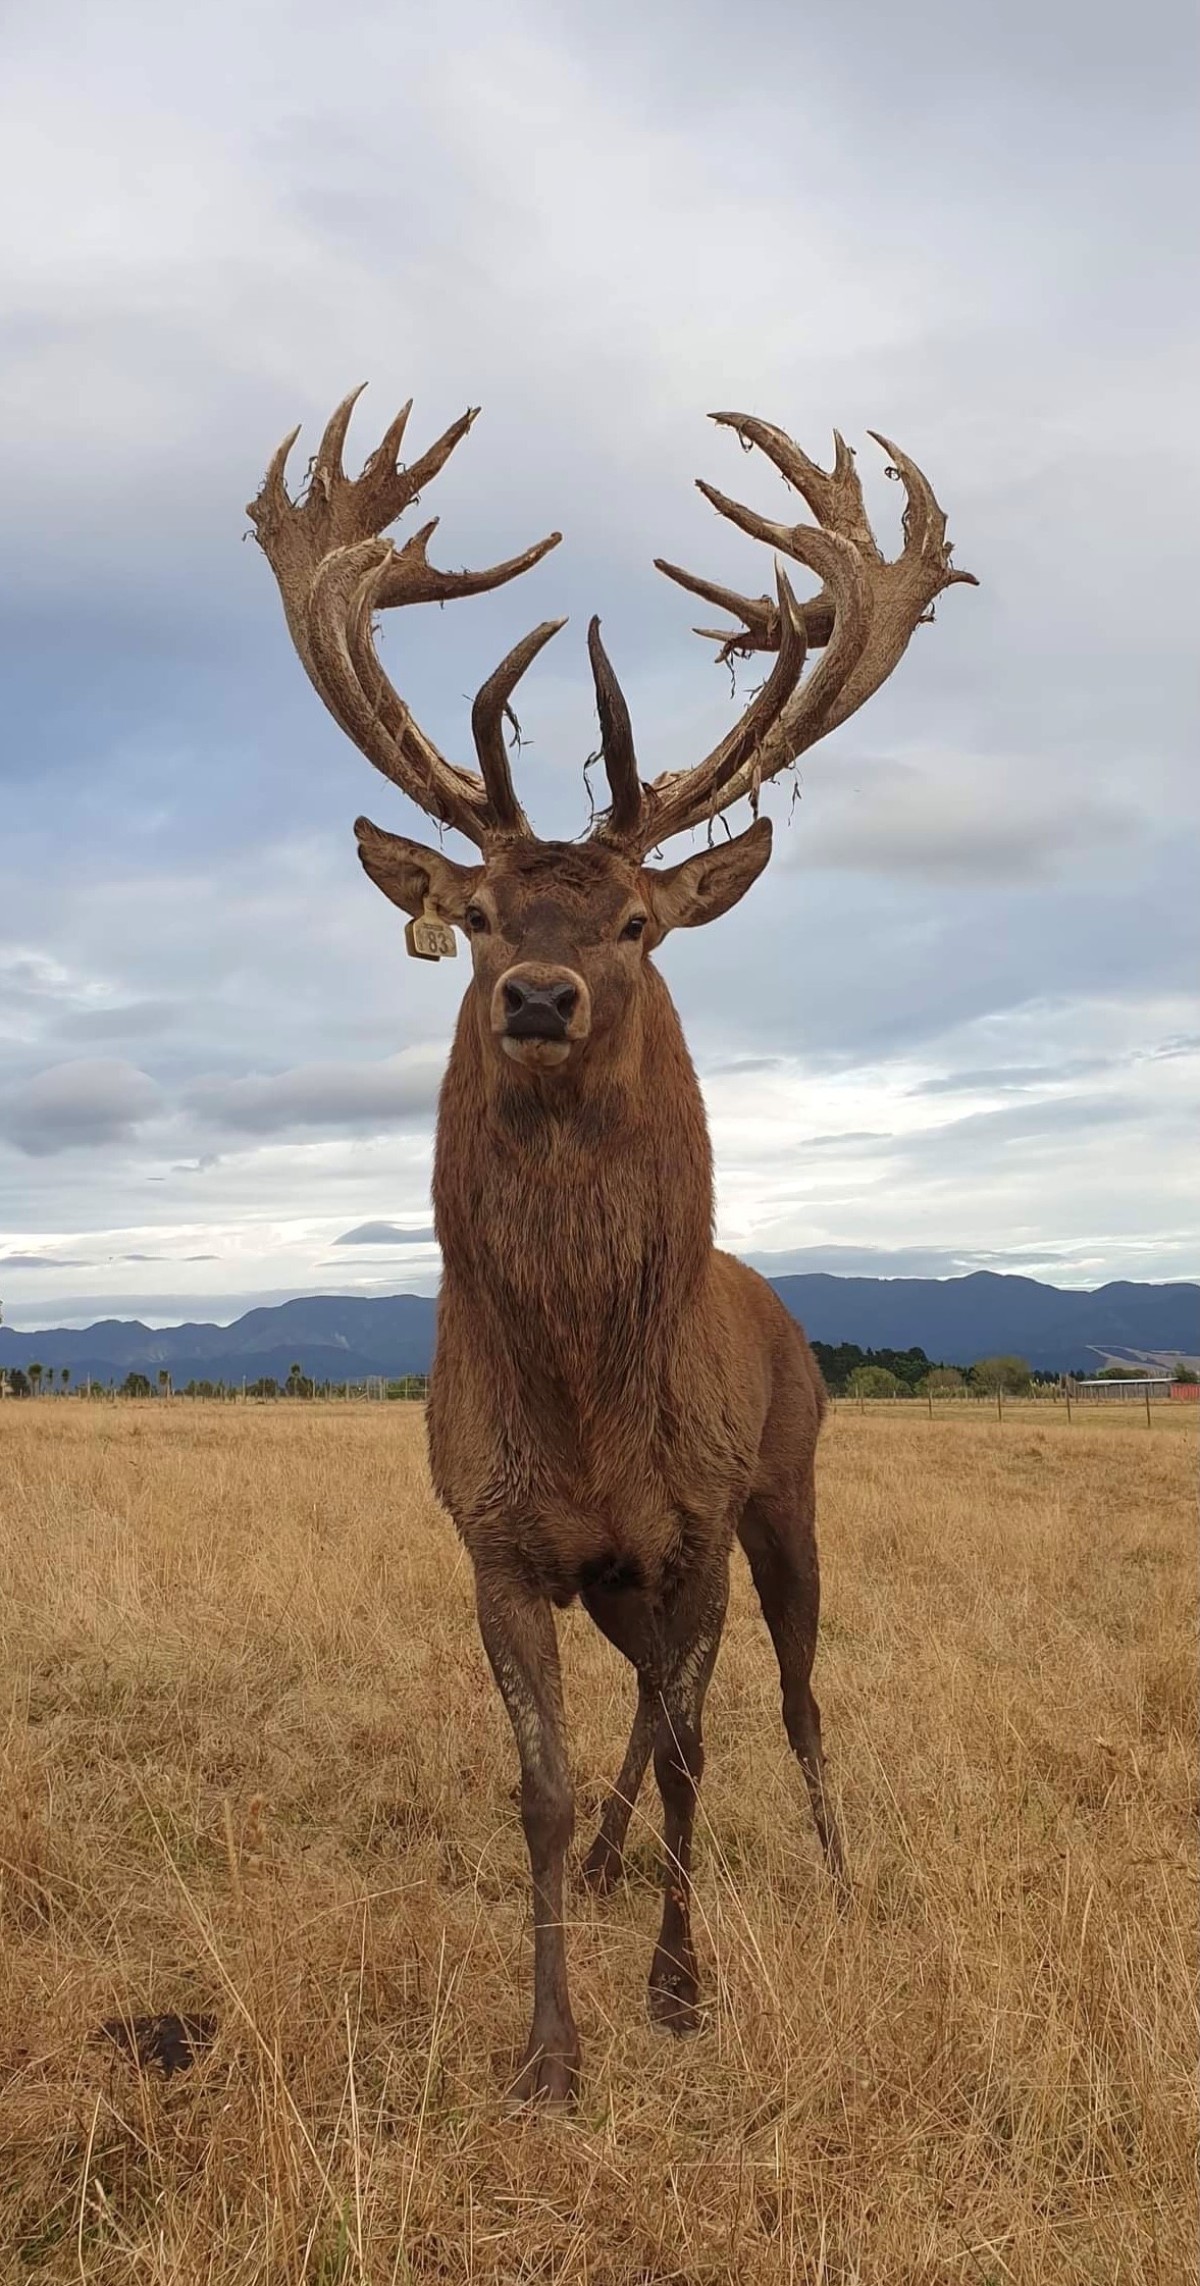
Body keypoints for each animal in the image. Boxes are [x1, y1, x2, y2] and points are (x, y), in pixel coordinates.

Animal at [248, 386, 974, 2103]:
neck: (586, 1402)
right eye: (482, 912)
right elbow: (547, 1779)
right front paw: (549, 2046)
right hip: (625, 1572)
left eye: (638, 919)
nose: (538, 996)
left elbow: (711, 1742)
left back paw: (837, 1866)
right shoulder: (496, 1537)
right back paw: (611, 1865)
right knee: (648, 1703)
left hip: (792, 1482)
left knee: (796, 1692)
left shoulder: (700, 1515)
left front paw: (683, 1990)